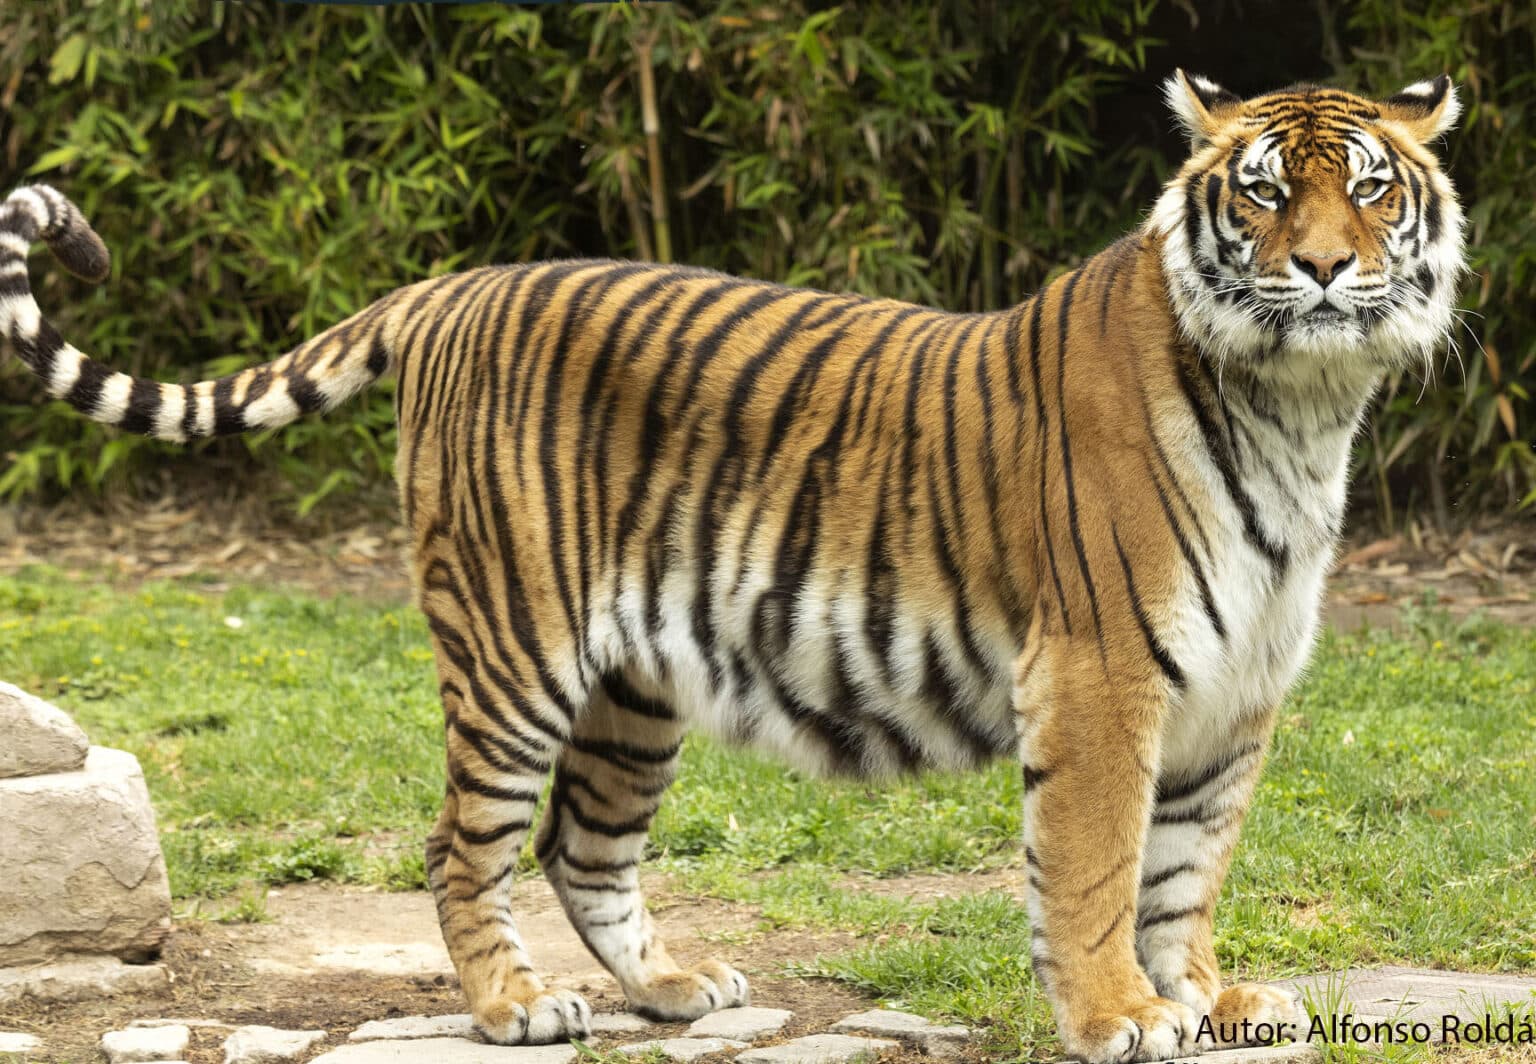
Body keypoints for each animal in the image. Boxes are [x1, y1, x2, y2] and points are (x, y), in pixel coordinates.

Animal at [0, 70, 1464, 1063]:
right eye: (1264, 190)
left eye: (1368, 186)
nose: (1321, 268)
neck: (1303, 408)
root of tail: (454, 283)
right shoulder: (1105, 678)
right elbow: (1101, 866)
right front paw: (1120, 1013)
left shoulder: (1238, 690)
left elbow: (1185, 869)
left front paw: (1207, 996)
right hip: (515, 648)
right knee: (462, 841)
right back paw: (514, 1004)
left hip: (632, 683)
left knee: (582, 845)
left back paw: (669, 988)